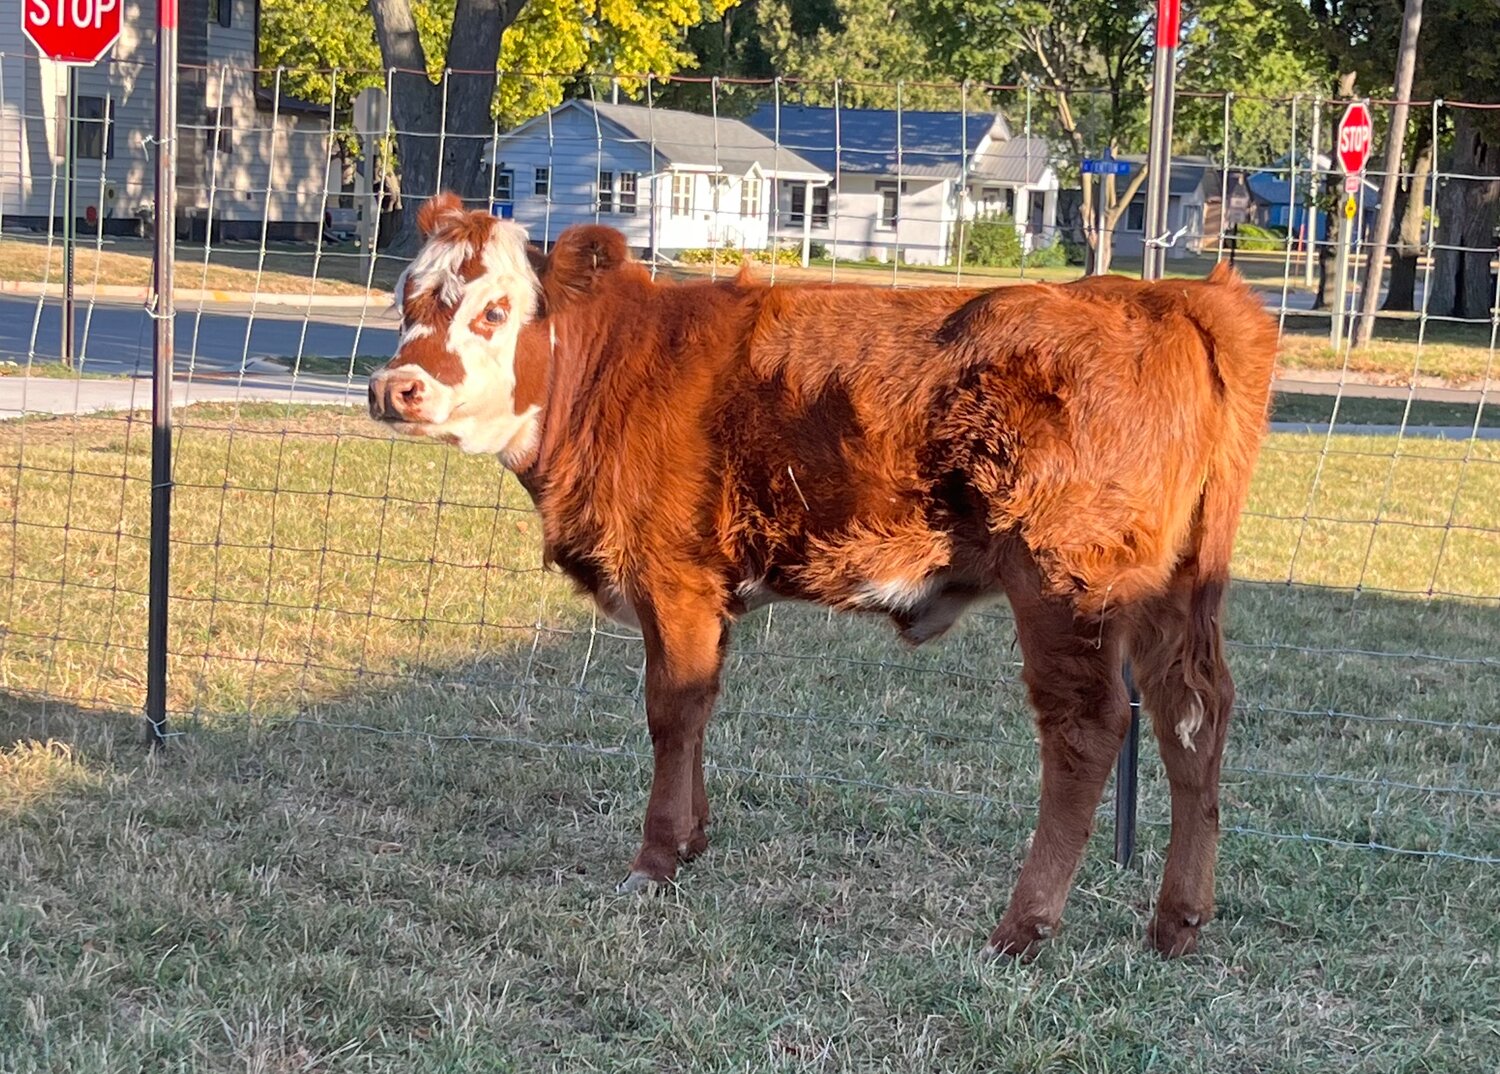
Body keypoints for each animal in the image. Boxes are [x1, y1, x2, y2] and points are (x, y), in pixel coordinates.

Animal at [367, 193, 1278, 959]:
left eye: (494, 310)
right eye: (405, 302)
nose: (394, 387)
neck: (618, 370)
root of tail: (1168, 298)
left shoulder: (672, 575)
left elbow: (672, 711)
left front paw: (656, 858)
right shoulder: (708, 593)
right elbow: (700, 705)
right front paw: (693, 839)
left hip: (1066, 583)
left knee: (1089, 728)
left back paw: (1024, 925)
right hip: (1178, 589)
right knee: (1194, 713)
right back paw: (1177, 921)